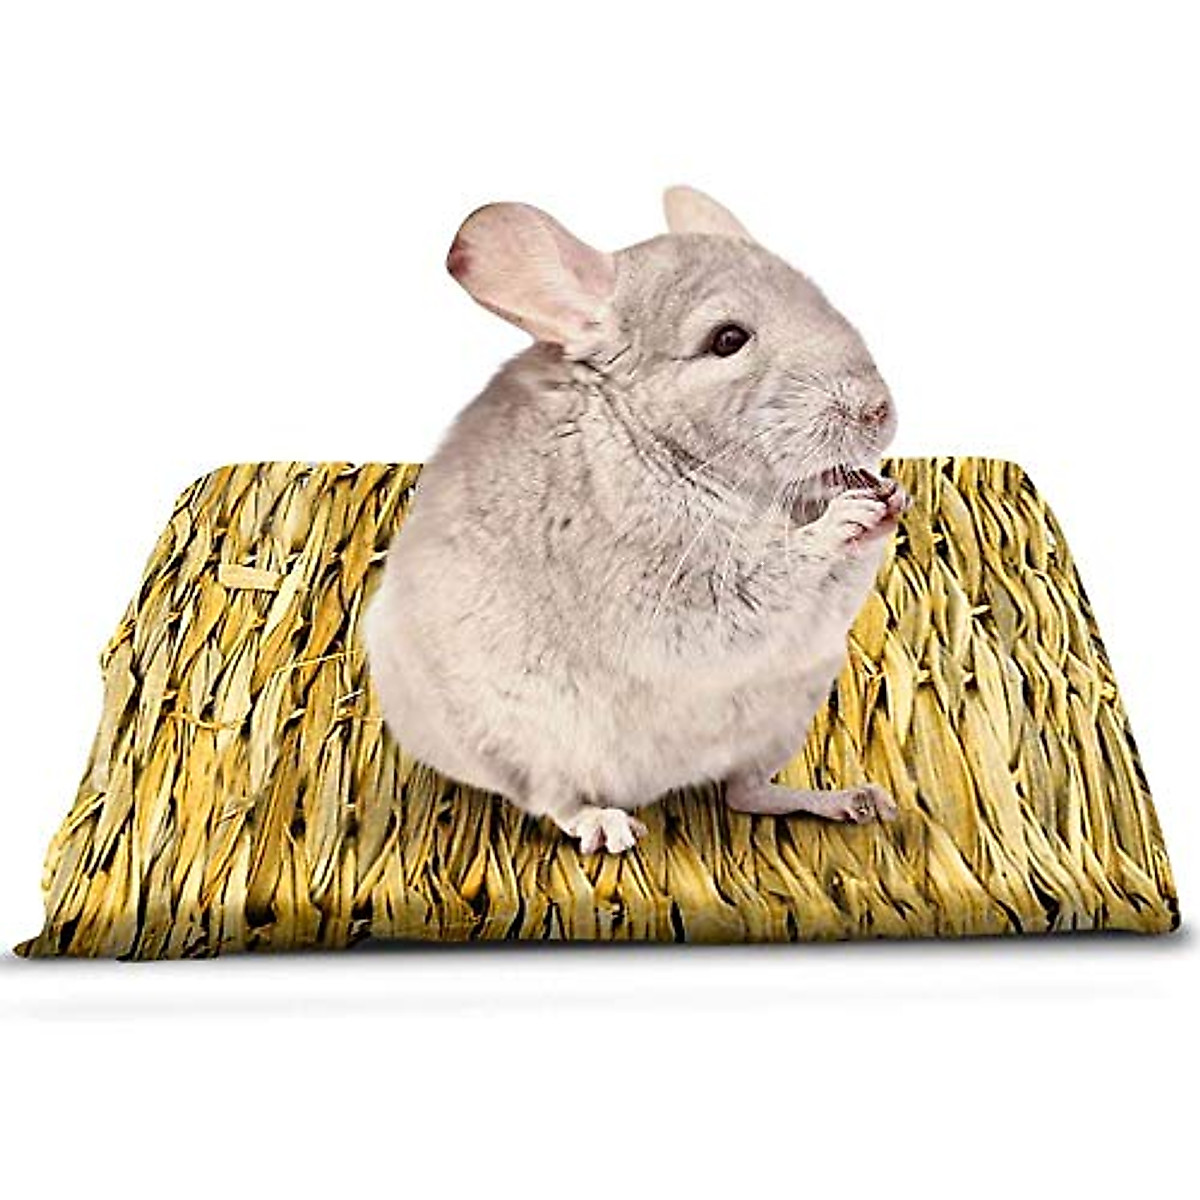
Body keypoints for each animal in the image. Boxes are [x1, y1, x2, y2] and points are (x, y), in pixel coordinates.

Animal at [363, 186, 908, 854]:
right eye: (727, 339)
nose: (880, 411)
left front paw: (887, 498)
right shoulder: (667, 592)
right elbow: (762, 583)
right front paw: (844, 521)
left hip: (782, 717)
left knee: (745, 792)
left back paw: (849, 801)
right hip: (532, 743)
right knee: (557, 801)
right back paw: (608, 827)